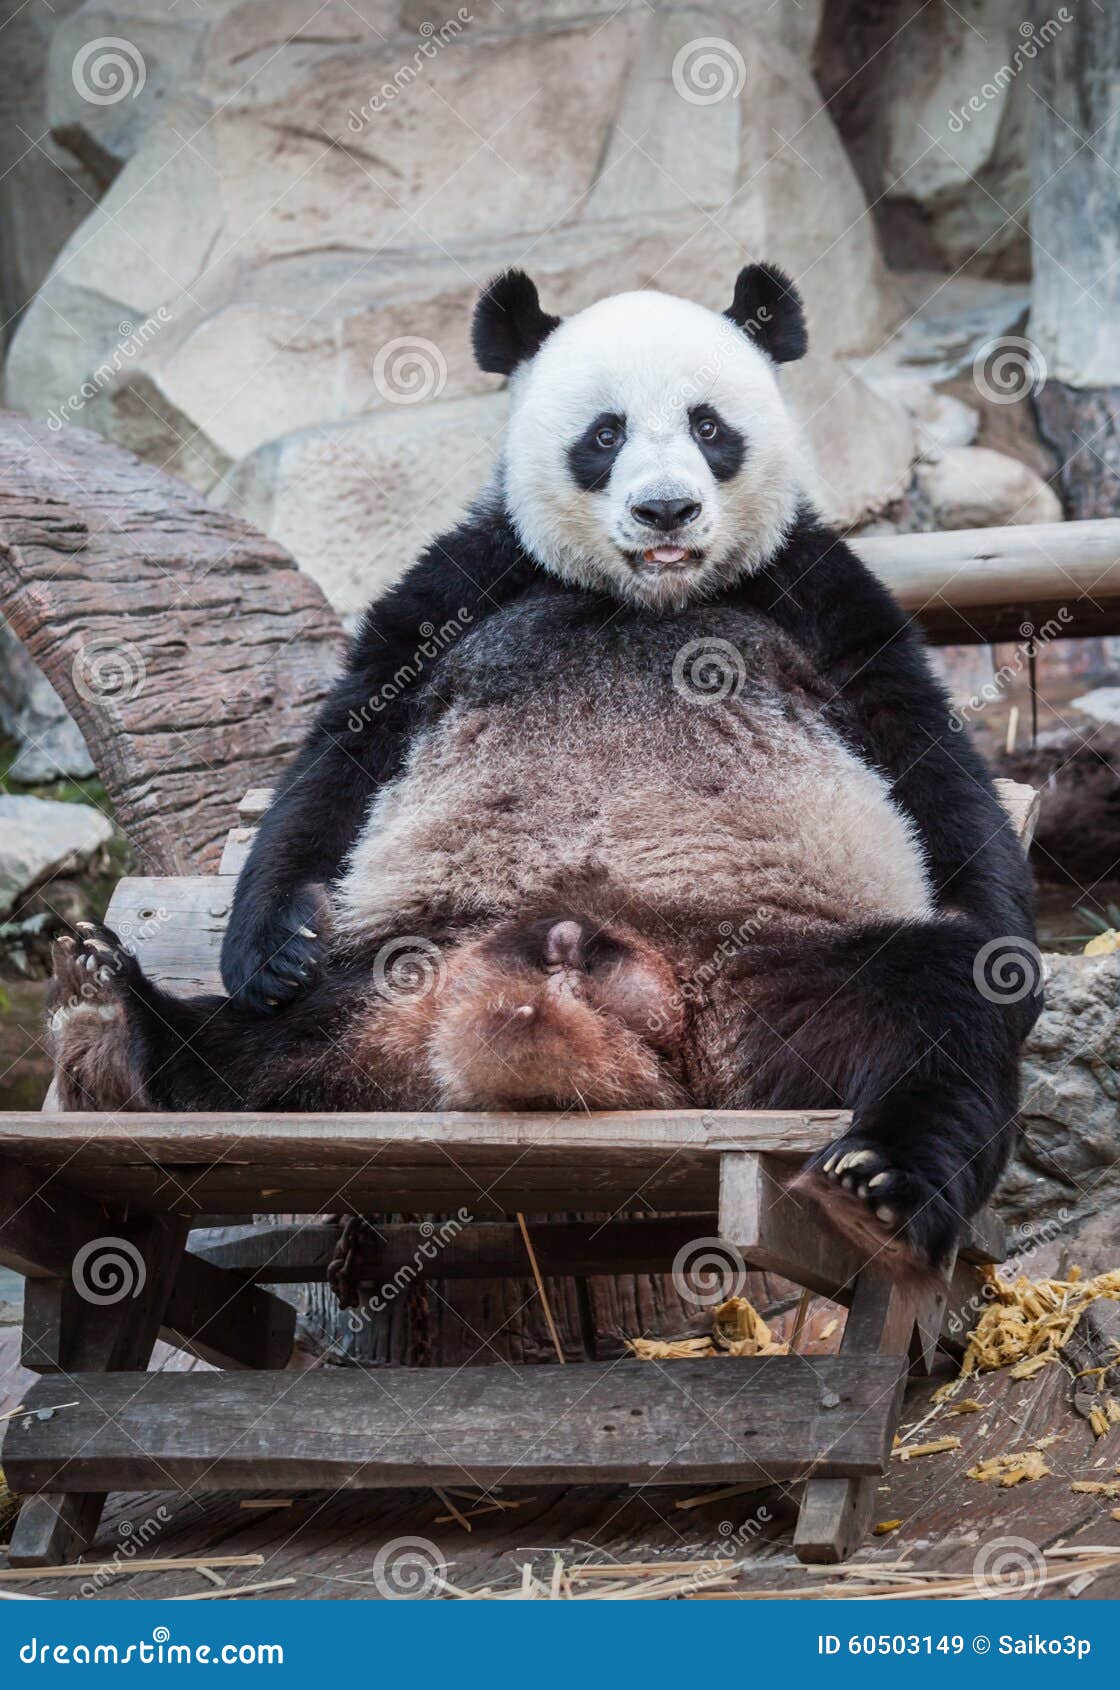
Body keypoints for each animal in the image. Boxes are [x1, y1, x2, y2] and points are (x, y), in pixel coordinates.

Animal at [49, 262, 1040, 1273]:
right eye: (605, 435)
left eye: (708, 426)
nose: (666, 509)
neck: (646, 595)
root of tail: (632, 1023)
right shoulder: (476, 574)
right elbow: (347, 744)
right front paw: (273, 944)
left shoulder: (813, 586)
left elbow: (918, 746)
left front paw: (1006, 948)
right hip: (400, 966)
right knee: (266, 1042)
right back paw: (125, 1021)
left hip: (782, 984)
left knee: (936, 1016)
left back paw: (879, 1182)